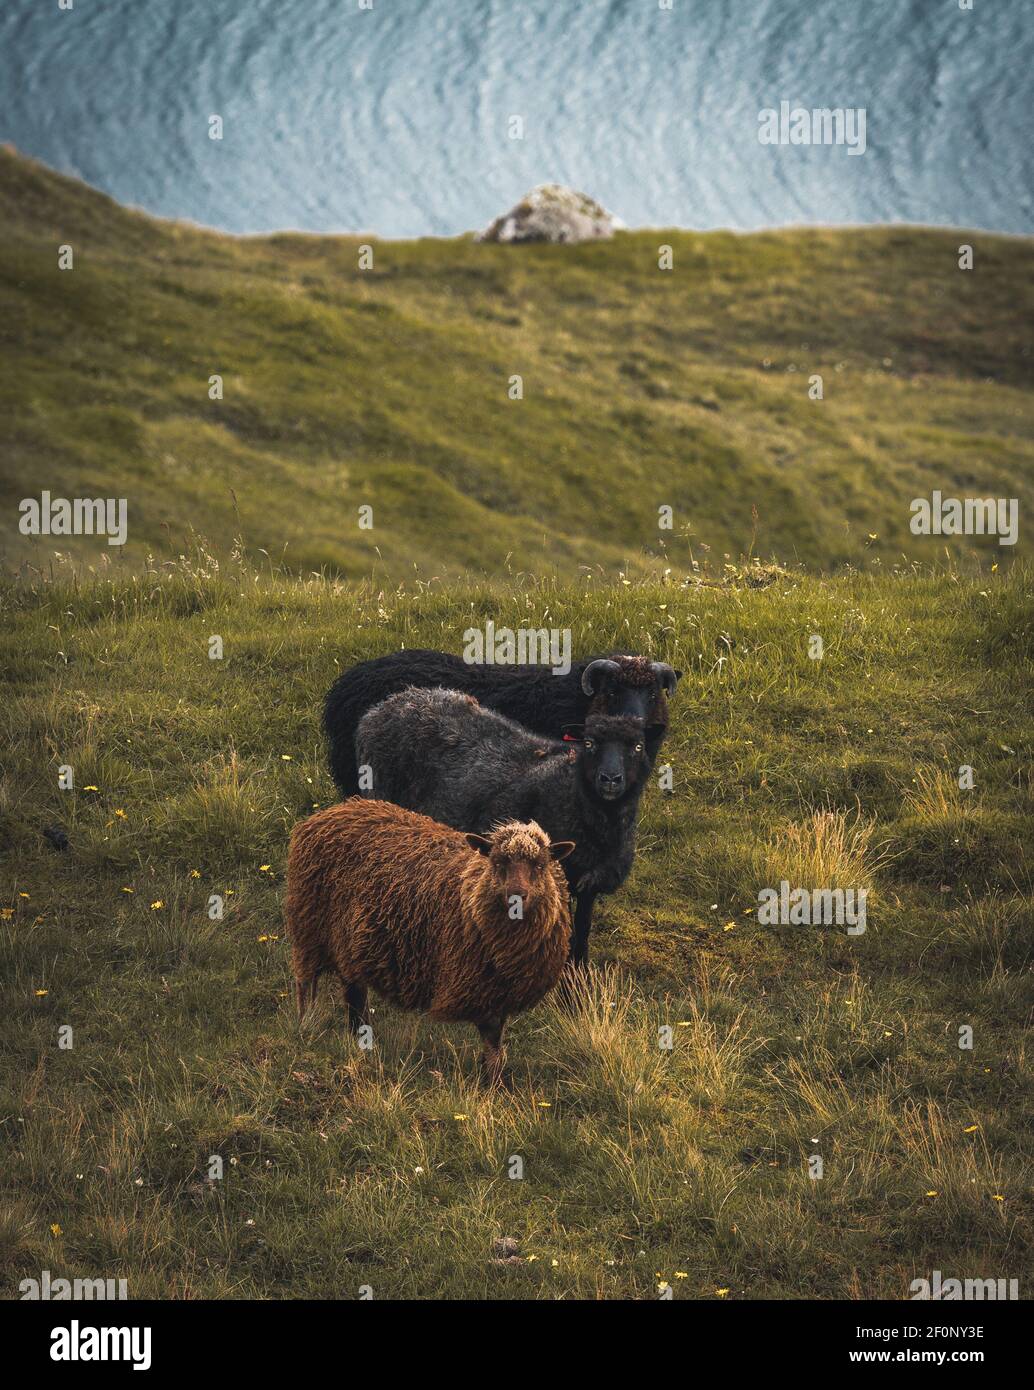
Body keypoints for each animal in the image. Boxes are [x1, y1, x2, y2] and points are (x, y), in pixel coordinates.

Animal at [285, 797, 574, 1083]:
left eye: (540, 865)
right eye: (498, 863)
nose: (517, 896)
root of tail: (334, 810)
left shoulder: (500, 992)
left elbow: (496, 1046)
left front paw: (493, 1079)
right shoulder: (480, 990)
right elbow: (493, 1041)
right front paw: (491, 1084)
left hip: (347, 941)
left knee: (354, 990)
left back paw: (361, 1037)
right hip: (308, 927)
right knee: (306, 984)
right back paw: (306, 1025)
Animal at [355, 687, 651, 969]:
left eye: (637, 746)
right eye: (589, 743)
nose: (610, 779)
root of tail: (386, 705)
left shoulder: (591, 882)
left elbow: (584, 927)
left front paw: (581, 969)